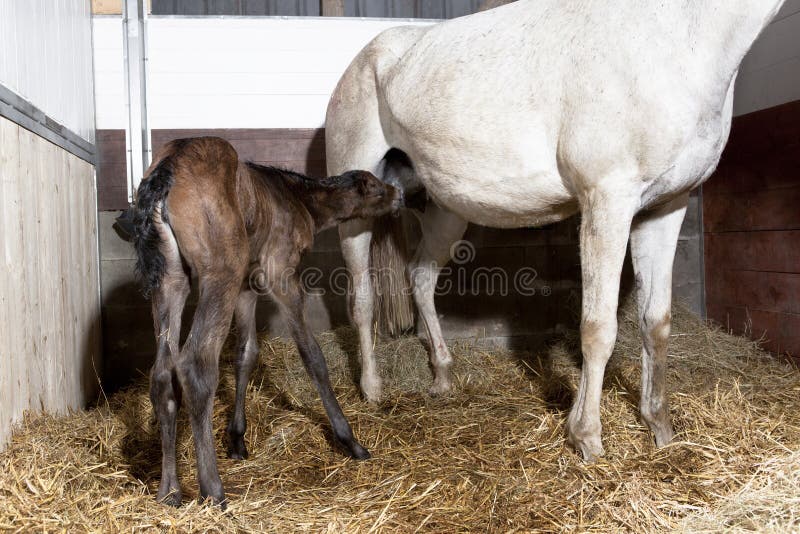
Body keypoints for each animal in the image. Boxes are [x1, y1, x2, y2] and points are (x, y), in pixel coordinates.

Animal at [132, 137, 401, 506]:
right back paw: (213, 491)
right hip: (221, 270)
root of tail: (166, 170)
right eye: (374, 186)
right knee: (195, 363)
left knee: (162, 372)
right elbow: (312, 356)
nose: (397, 192)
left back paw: (169, 491)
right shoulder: (280, 272)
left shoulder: (248, 284)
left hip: (172, 277)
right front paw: (350, 441)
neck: (296, 198)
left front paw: (237, 440)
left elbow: (246, 353)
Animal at [325, 0, 786, 461]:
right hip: (357, 212)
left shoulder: (666, 207)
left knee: (420, 276)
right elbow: (598, 329)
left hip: (445, 211)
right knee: (361, 299)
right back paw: (372, 389)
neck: (675, 32)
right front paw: (587, 438)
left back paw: (442, 375)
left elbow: (656, 322)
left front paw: (661, 430)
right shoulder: (607, 201)